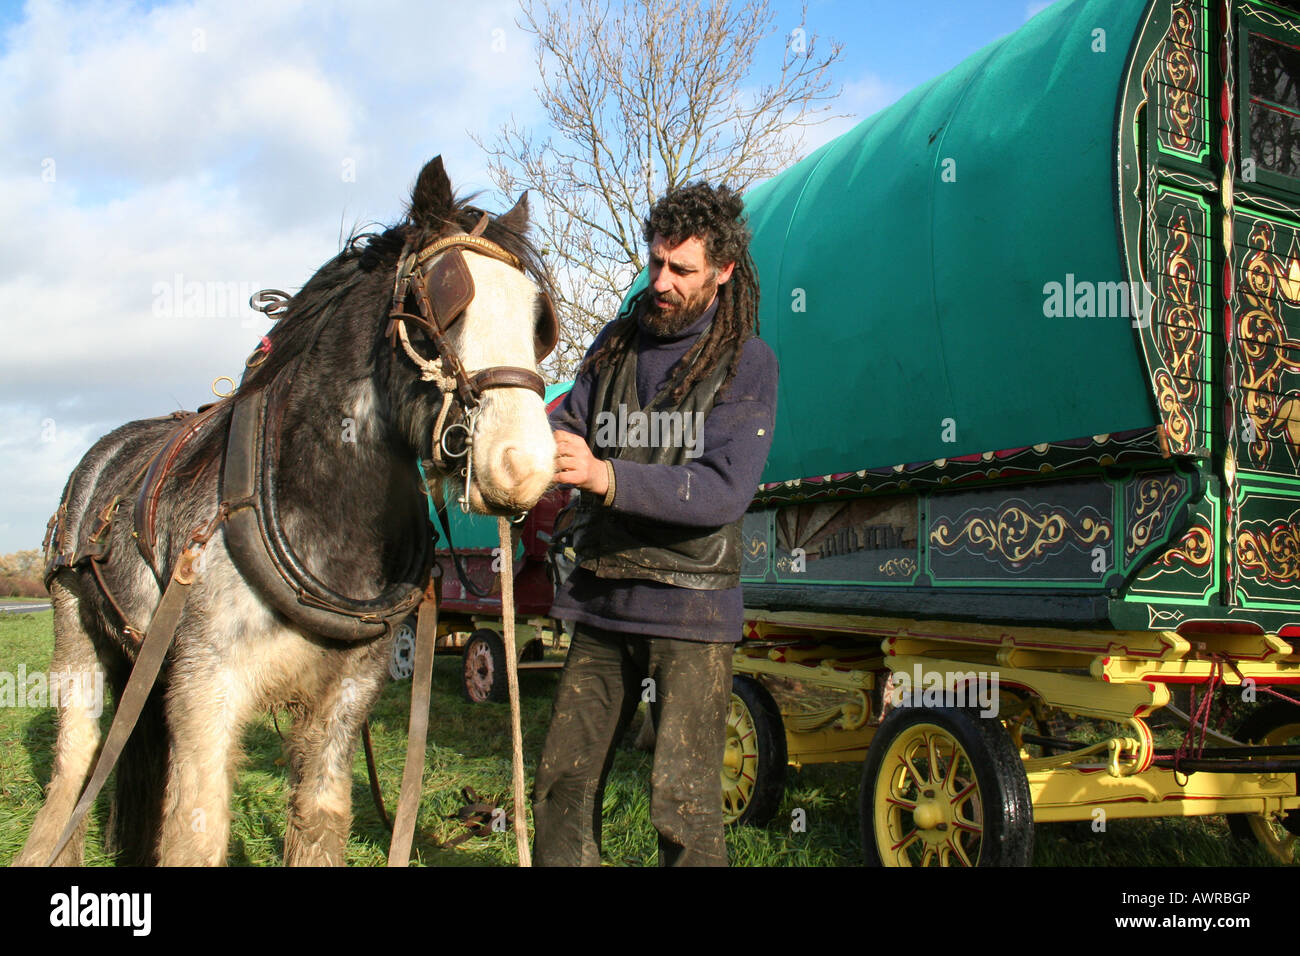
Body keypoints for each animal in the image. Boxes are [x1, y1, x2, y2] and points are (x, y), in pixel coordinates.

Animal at [14, 156, 558, 866]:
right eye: (441, 300)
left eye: (537, 319)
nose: (525, 465)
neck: (322, 512)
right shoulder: (206, 691)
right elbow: (196, 833)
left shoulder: (343, 701)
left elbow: (320, 819)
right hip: (78, 637)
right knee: (75, 764)